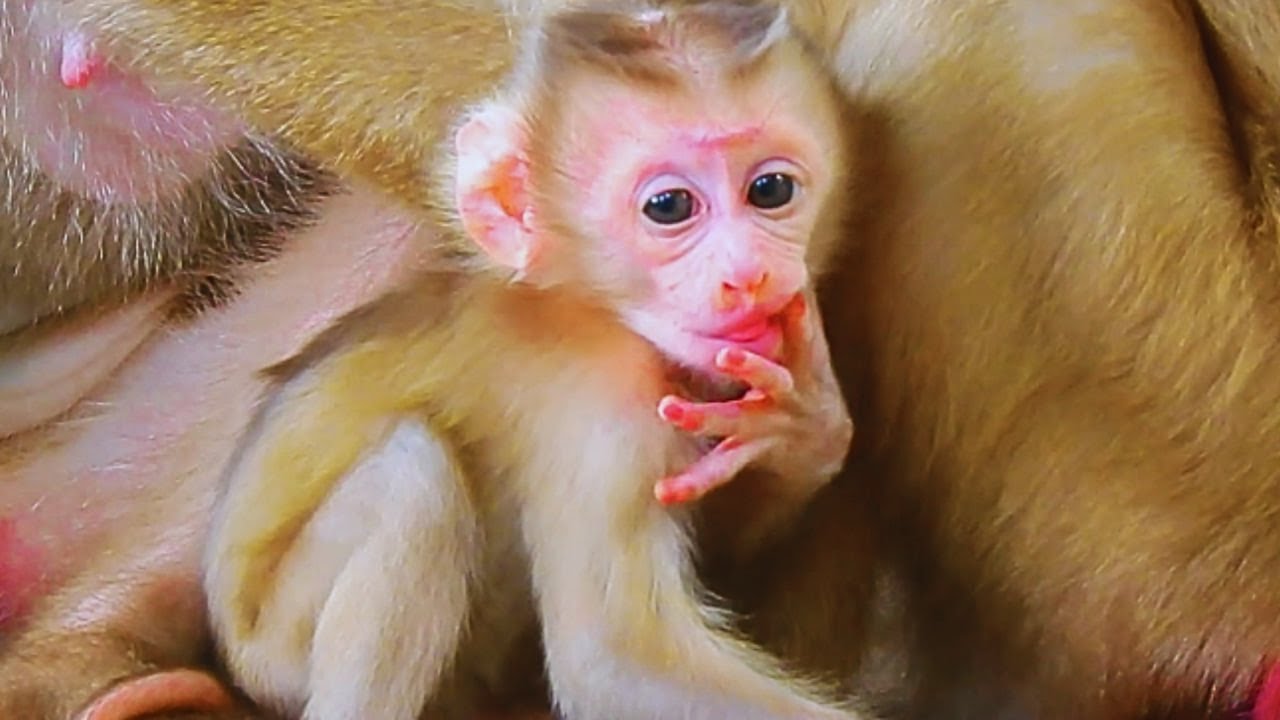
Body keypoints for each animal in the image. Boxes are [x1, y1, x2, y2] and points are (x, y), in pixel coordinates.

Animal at [192, 3, 866, 719]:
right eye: (669, 206)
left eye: (771, 189)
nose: (748, 276)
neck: (588, 301)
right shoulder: (591, 389)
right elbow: (611, 659)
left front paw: (803, 428)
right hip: (275, 648)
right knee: (414, 478)